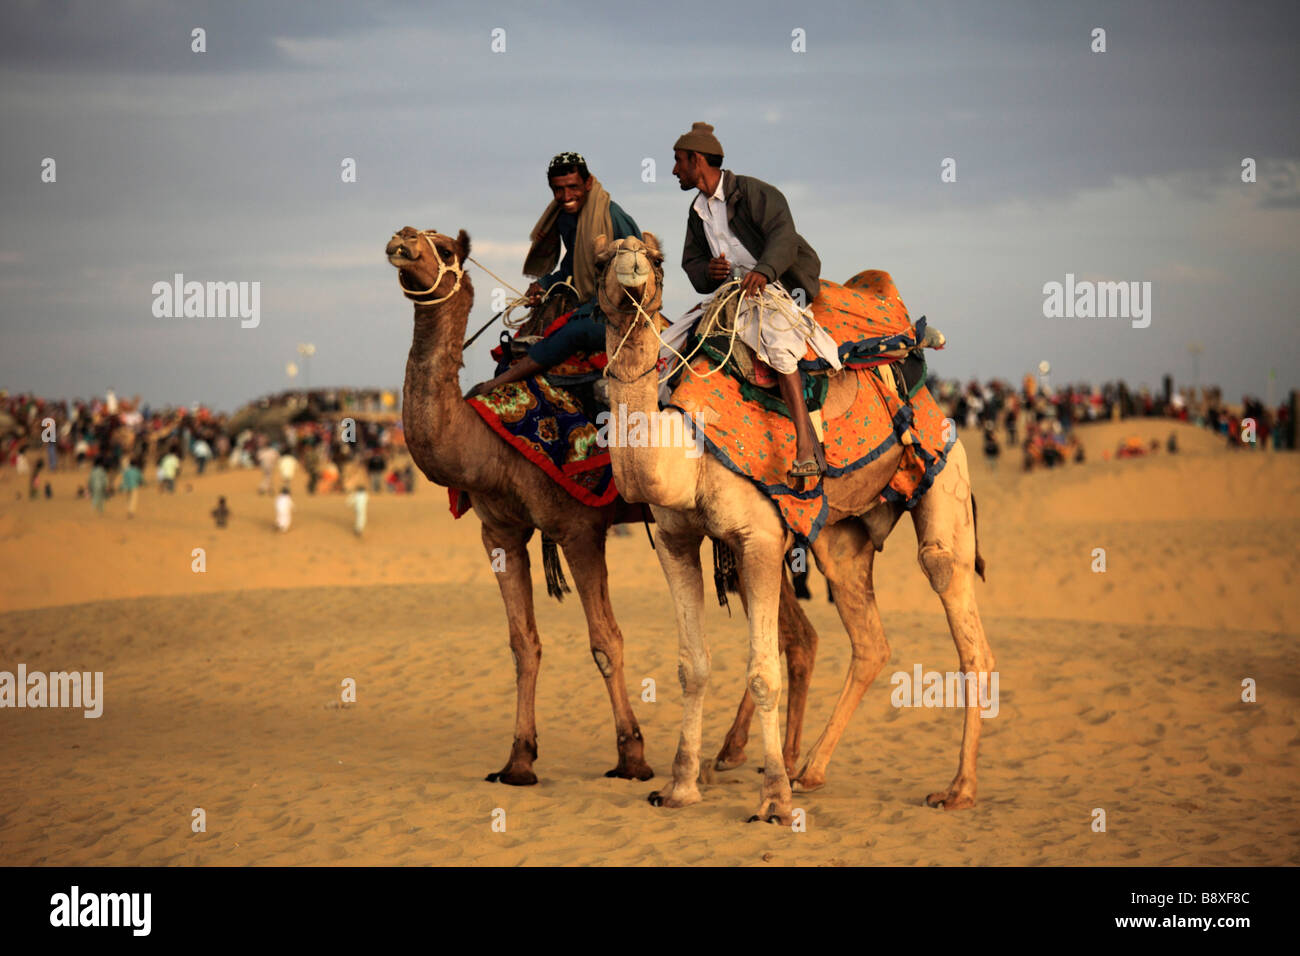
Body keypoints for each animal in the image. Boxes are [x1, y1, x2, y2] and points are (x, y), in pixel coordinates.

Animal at [384, 226, 820, 786]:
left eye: (445, 250)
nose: (402, 239)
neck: (486, 442)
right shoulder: (498, 531)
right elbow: (523, 643)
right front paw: (518, 759)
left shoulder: (578, 527)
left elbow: (605, 641)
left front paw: (632, 755)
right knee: (793, 634)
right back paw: (736, 752)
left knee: (788, 634)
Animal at [594, 233, 994, 823]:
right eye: (600, 259)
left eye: (657, 259)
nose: (631, 267)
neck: (685, 453)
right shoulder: (674, 539)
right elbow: (693, 666)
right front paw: (680, 786)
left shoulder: (758, 540)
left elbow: (764, 673)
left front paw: (773, 802)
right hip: (839, 538)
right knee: (870, 642)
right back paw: (811, 771)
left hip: (945, 469)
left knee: (959, 610)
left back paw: (959, 788)